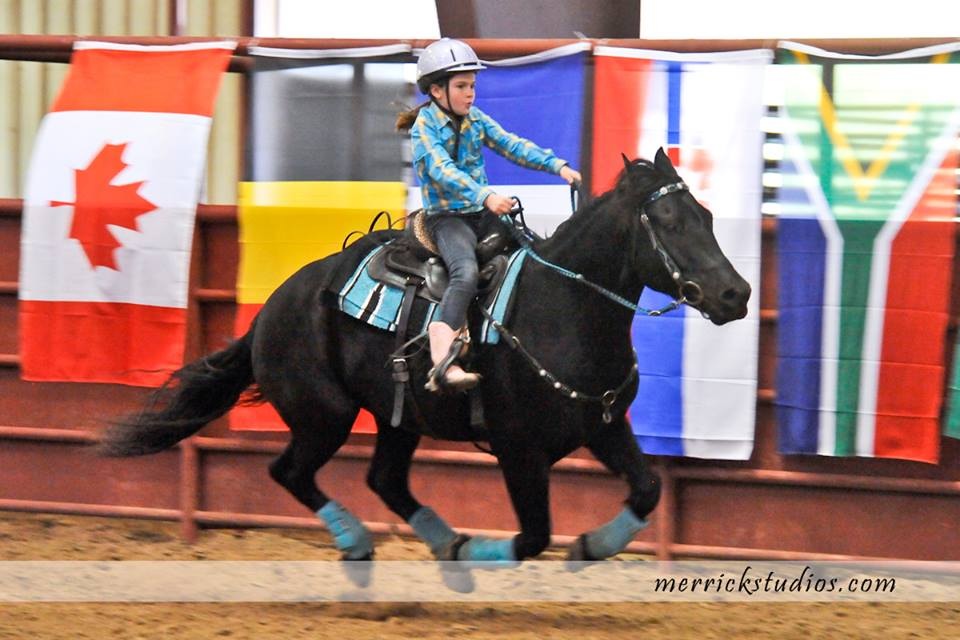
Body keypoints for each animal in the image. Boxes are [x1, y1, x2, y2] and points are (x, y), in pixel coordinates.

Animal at [100, 148, 751, 563]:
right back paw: (361, 543)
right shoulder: (518, 449)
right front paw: (487, 551)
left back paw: (442, 540)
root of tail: (271, 308)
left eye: (706, 216)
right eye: (667, 219)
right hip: (324, 415)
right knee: (290, 472)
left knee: (384, 478)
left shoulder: (605, 425)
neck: (562, 305)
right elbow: (534, 536)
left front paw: (592, 545)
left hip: (398, 417)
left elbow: (647, 490)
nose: (735, 294)